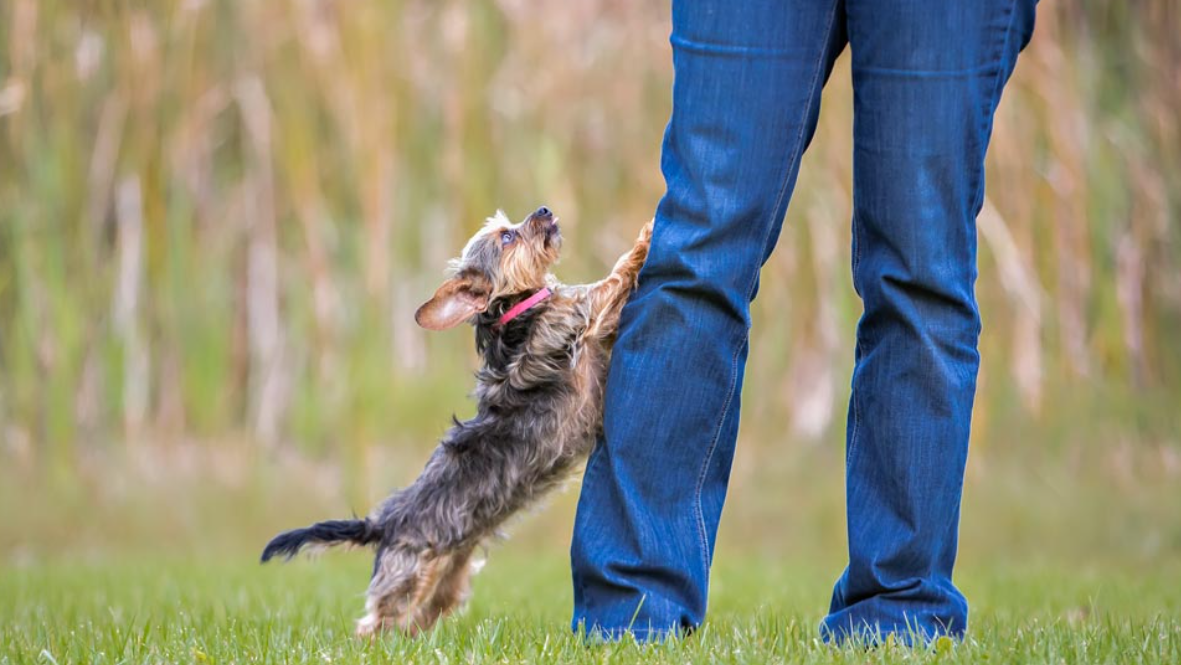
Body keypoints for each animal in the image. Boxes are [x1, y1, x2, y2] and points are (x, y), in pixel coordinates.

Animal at [259, 205, 661, 637]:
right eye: (507, 237)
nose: (544, 210)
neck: (517, 314)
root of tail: (384, 524)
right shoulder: (581, 315)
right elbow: (615, 275)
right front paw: (648, 232)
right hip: (408, 577)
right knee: (374, 623)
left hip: (448, 576)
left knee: (416, 619)